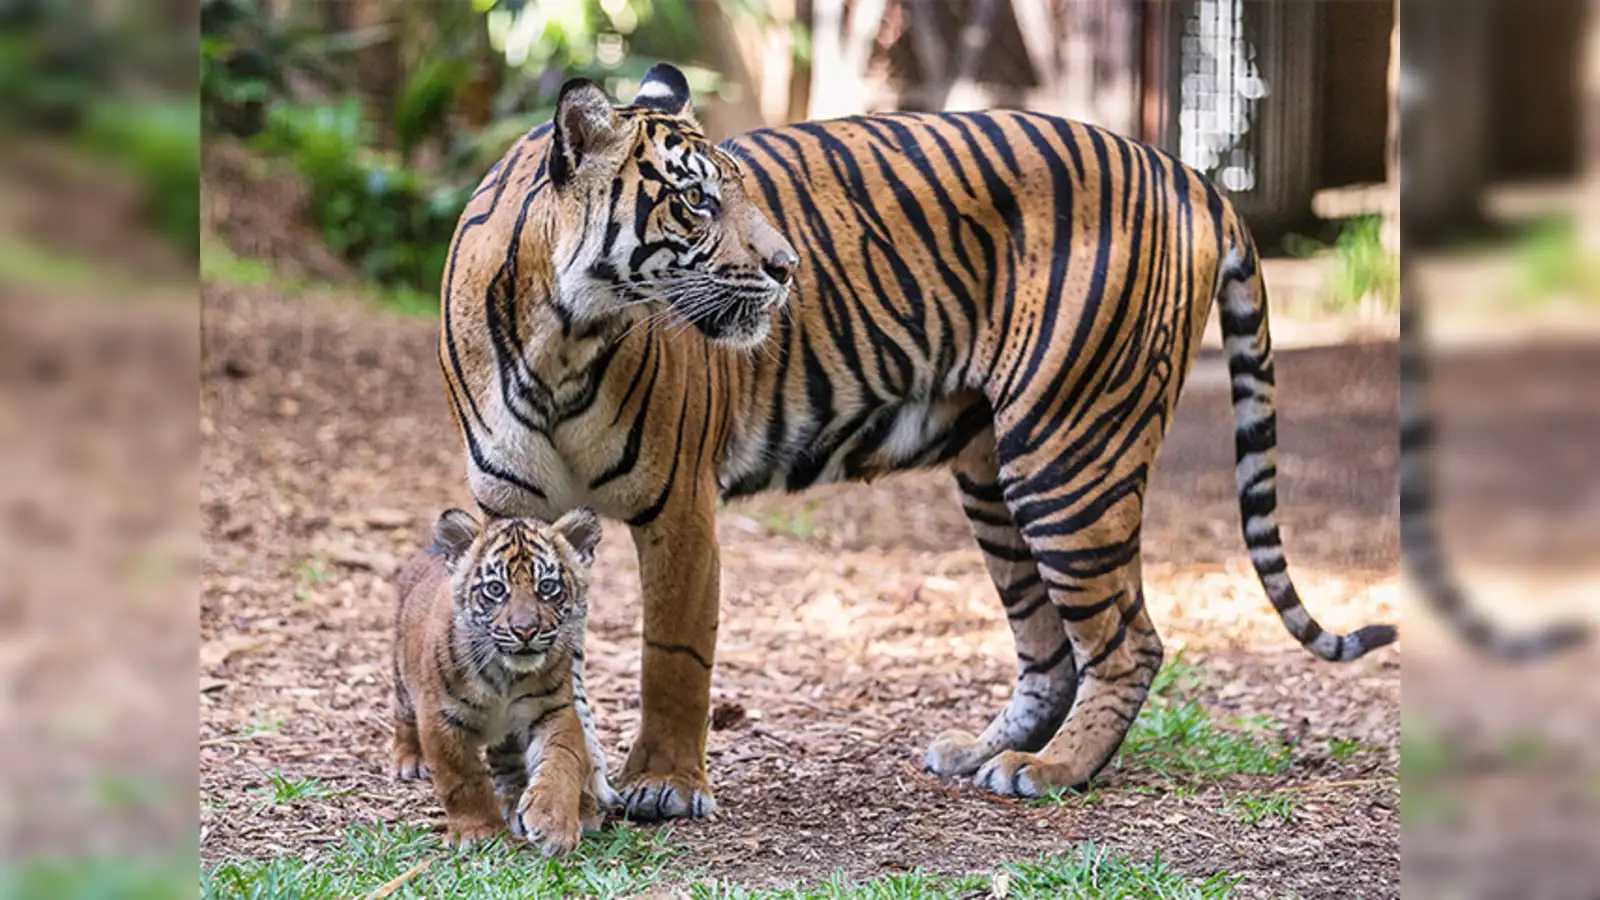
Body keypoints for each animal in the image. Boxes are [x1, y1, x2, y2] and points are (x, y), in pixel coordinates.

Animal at [390, 506, 617, 853]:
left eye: (547, 587)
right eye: (496, 589)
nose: (525, 630)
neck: (505, 675)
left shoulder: (554, 710)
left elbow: (561, 760)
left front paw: (553, 823)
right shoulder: (440, 717)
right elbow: (462, 778)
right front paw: (479, 833)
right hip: (404, 682)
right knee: (402, 715)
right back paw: (409, 759)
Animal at [437, 62, 1397, 819]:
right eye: (698, 199)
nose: (788, 268)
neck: (562, 336)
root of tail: (1186, 170)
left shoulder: (680, 508)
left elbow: (673, 656)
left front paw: (662, 785)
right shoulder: (518, 514)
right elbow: (544, 656)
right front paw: (556, 778)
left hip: (1068, 451)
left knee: (1129, 640)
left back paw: (1051, 770)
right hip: (994, 475)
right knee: (1050, 647)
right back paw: (982, 754)